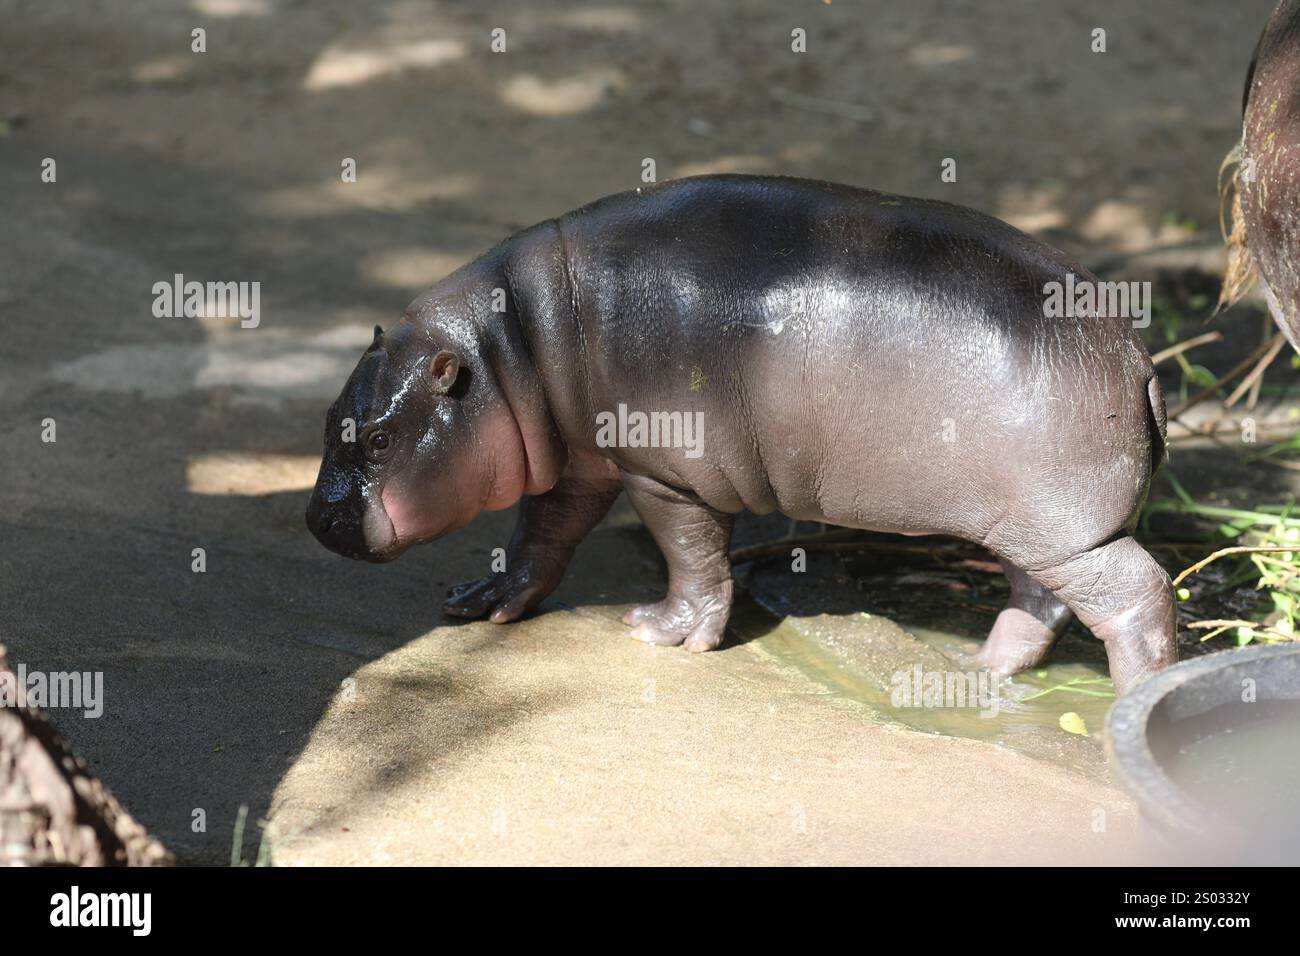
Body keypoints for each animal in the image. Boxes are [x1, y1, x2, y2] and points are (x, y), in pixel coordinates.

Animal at [306, 174, 1176, 694]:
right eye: (327, 420)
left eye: (378, 441)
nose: (317, 519)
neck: (510, 347)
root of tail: (1138, 354)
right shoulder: (585, 459)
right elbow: (541, 534)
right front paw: (482, 603)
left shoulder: (664, 472)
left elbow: (690, 556)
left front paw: (661, 633)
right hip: (1030, 524)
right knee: (1040, 597)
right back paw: (982, 669)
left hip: (1066, 527)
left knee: (1138, 595)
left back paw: (1133, 705)